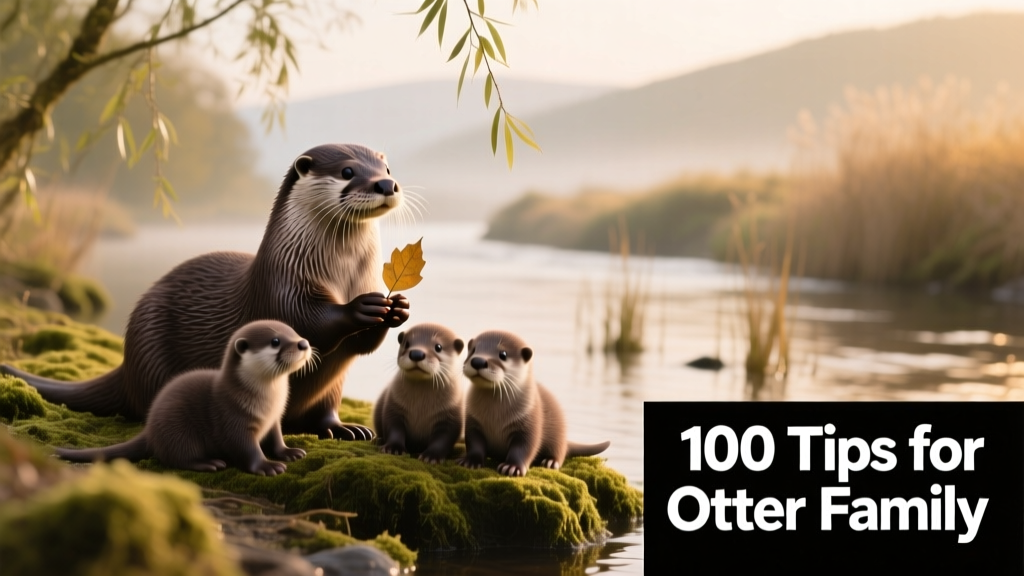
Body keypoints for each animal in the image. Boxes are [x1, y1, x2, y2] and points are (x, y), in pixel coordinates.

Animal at [2, 144, 410, 440]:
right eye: (347, 171)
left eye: (388, 170)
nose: (386, 185)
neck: (344, 278)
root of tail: (128, 365)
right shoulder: (280, 286)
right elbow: (306, 322)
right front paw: (360, 308)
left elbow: (361, 346)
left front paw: (399, 307)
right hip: (151, 350)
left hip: (333, 386)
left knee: (323, 410)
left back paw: (345, 429)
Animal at [55, 320, 311, 475]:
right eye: (275, 341)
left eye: (294, 332)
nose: (303, 343)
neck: (268, 401)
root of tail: (150, 428)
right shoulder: (232, 418)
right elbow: (246, 448)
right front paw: (267, 466)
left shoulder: (274, 419)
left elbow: (276, 439)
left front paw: (289, 452)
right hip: (179, 432)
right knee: (176, 458)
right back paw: (208, 463)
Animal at [373, 323, 464, 463]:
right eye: (406, 344)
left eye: (438, 347)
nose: (416, 353)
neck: (421, 407)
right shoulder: (394, 406)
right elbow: (394, 428)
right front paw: (393, 448)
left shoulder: (450, 416)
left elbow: (443, 438)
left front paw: (432, 456)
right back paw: (377, 440)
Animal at [458, 330, 610, 477]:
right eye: (473, 350)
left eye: (503, 354)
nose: (478, 361)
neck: (495, 416)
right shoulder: (474, 421)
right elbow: (474, 442)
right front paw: (471, 461)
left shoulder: (529, 421)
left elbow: (524, 447)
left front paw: (513, 467)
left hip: (559, 433)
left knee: (560, 450)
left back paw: (550, 462)